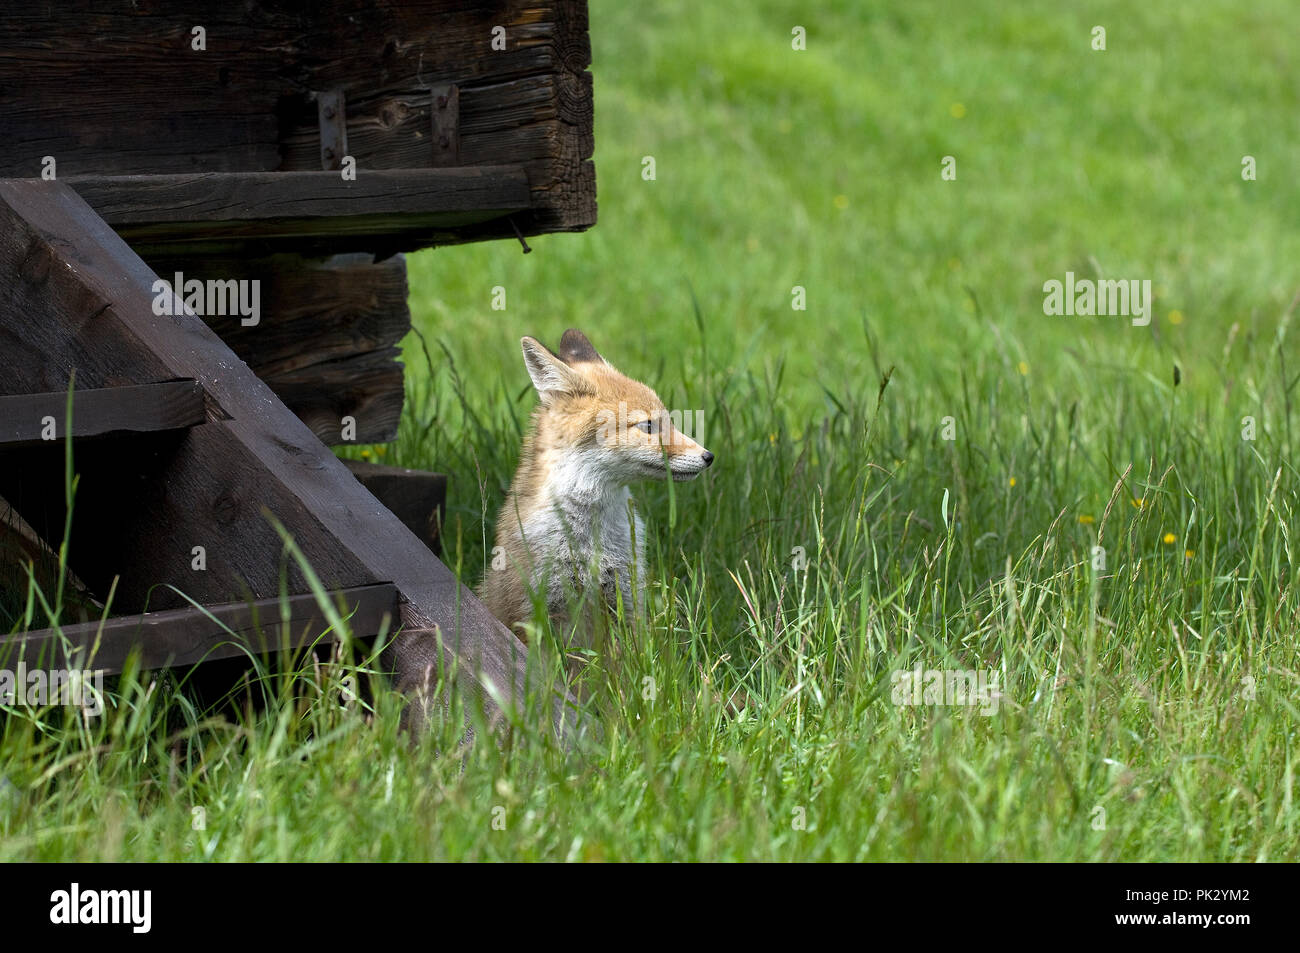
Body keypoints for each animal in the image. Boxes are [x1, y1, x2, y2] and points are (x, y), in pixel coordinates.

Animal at [478, 329, 713, 649]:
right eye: (648, 426)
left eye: (670, 422)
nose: (709, 457)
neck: (590, 541)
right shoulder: (536, 611)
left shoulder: (624, 598)